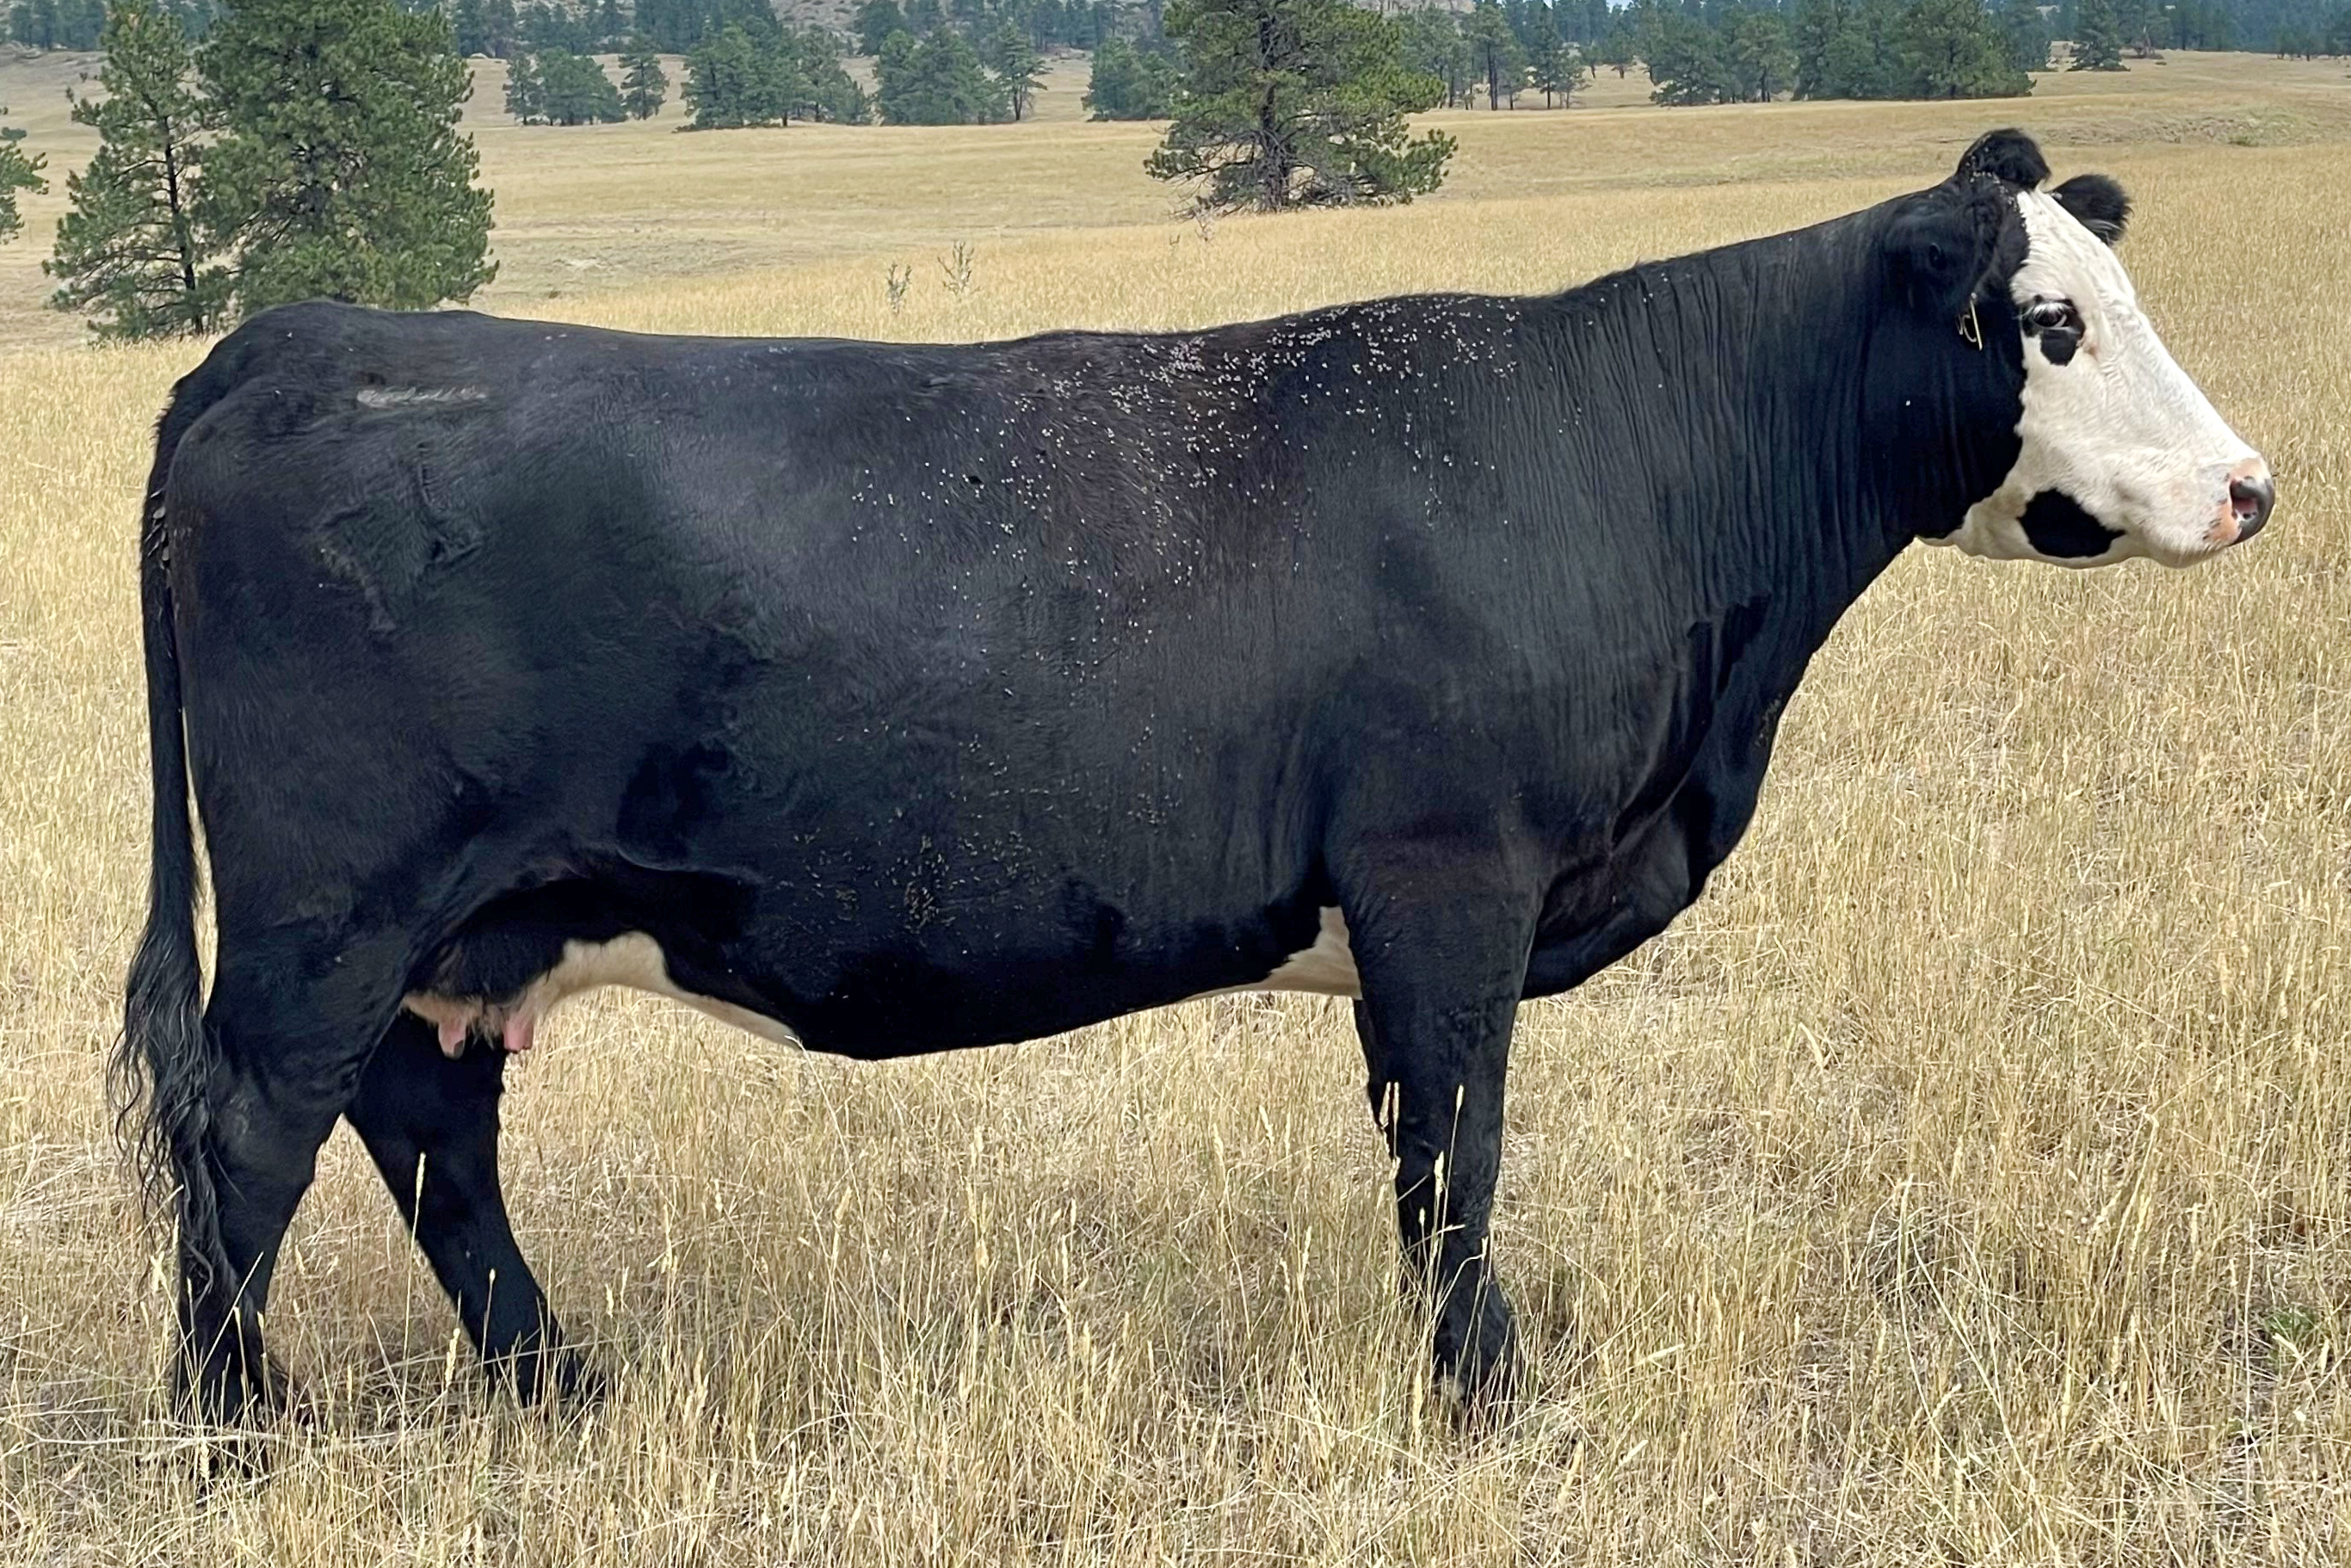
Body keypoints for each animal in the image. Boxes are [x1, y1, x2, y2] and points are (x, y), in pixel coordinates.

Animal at [120, 130, 2272, 1424]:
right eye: (2049, 320)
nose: (2247, 487)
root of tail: (286, 342)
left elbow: (1429, 1147)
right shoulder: (1443, 871)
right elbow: (1453, 1148)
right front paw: (1482, 1394)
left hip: (457, 928)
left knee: (425, 1133)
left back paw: (559, 1386)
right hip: (331, 909)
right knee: (248, 1134)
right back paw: (241, 1429)